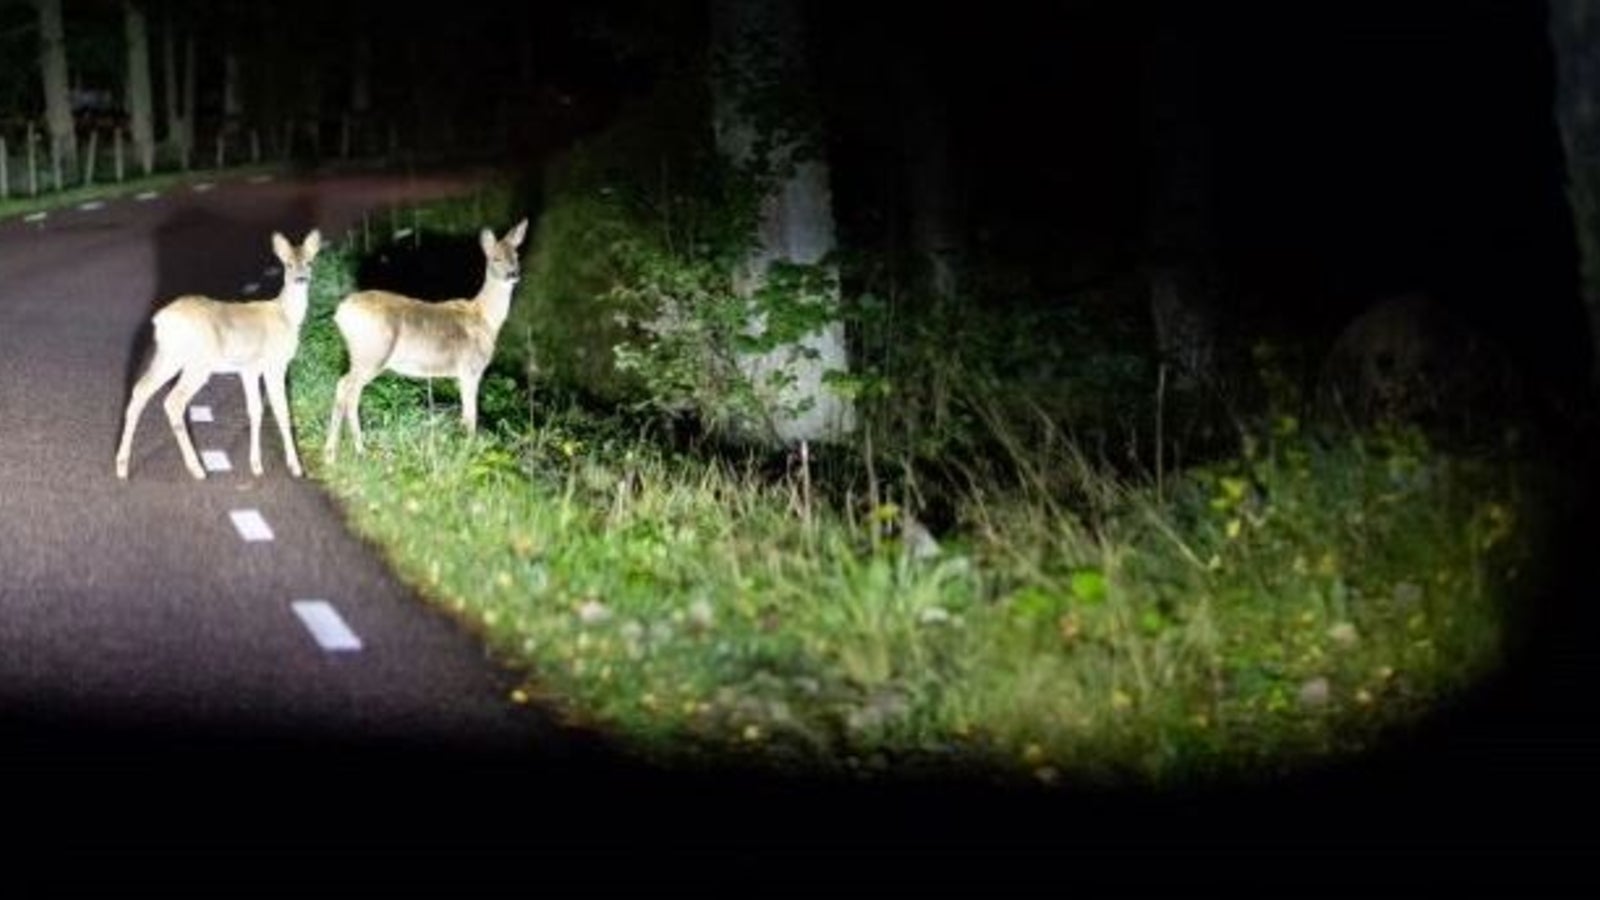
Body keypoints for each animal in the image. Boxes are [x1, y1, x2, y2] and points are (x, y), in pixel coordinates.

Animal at [115, 229, 323, 481]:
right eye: (288, 264)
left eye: (309, 262)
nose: (301, 279)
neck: (286, 315)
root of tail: (161, 319)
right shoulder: (271, 364)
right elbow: (277, 410)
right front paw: (289, 467)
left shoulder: (252, 369)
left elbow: (262, 410)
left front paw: (262, 466)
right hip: (197, 363)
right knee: (173, 401)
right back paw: (196, 468)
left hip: (168, 356)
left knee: (140, 389)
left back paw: (122, 466)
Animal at [323, 218, 527, 461]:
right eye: (495, 258)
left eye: (516, 255)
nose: (513, 274)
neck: (485, 318)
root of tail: (341, 312)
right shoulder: (470, 369)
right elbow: (470, 418)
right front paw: (467, 455)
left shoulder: (461, 374)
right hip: (372, 354)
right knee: (349, 389)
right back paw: (356, 451)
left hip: (362, 356)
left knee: (342, 386)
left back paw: (333, 453)